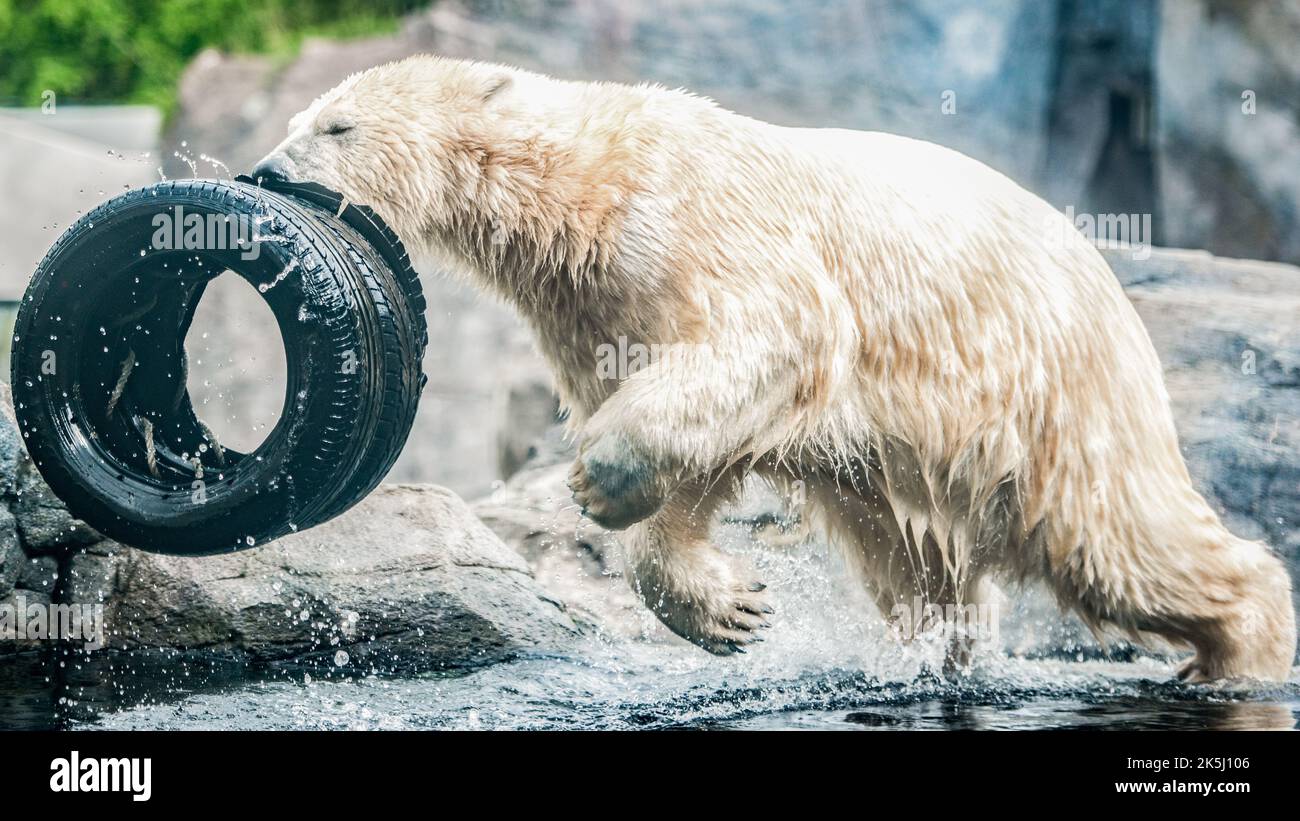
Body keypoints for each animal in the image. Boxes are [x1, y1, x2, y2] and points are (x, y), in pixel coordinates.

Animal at [253, 56, 1296, 682]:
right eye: (303, 119)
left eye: (337, 127)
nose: (265, 174)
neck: (586, 189)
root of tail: (1113, 293)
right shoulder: (593, 304)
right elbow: (692, 459)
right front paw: (731, 607)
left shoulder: (695, 224)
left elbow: (768, 342)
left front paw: (595, 479)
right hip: (912, 460)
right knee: (913, 554)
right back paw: (944, 648)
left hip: (1054, 396)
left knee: (1118, 538)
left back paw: (1235, 651)